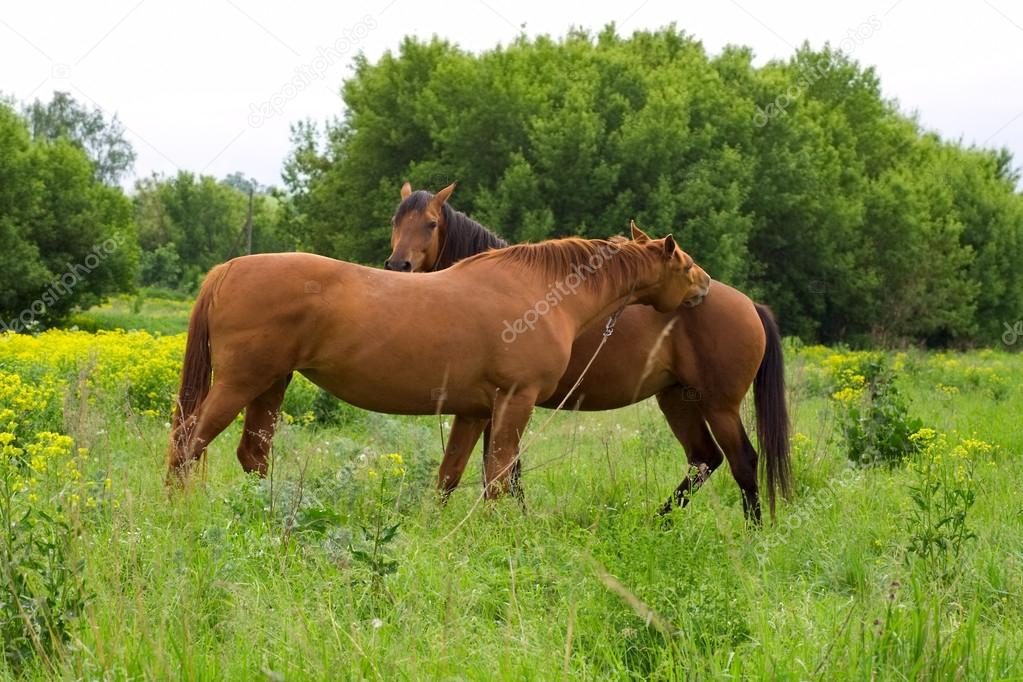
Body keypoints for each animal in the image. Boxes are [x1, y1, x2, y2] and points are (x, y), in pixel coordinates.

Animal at [166, 228, 712, 501]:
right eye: (685, 263)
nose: (706, 286)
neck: (540, 290)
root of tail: (229, 268)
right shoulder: (515, 402)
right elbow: (499, 476)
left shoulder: (473, 411)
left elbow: (450, 476)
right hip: (241, 382)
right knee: (187, 444)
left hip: (271, 385)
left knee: (251, 454)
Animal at [386, 182, 791, 522]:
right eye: (395, 220)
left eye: (431, 224)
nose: (397, 266)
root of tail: (751, 305)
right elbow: (502, 469)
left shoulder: (505, 400)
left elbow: (503, 470)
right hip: (678, 399)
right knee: (704, 459)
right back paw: (656, 523)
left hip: (720, 405)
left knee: (743, 462)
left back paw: (752, 534)